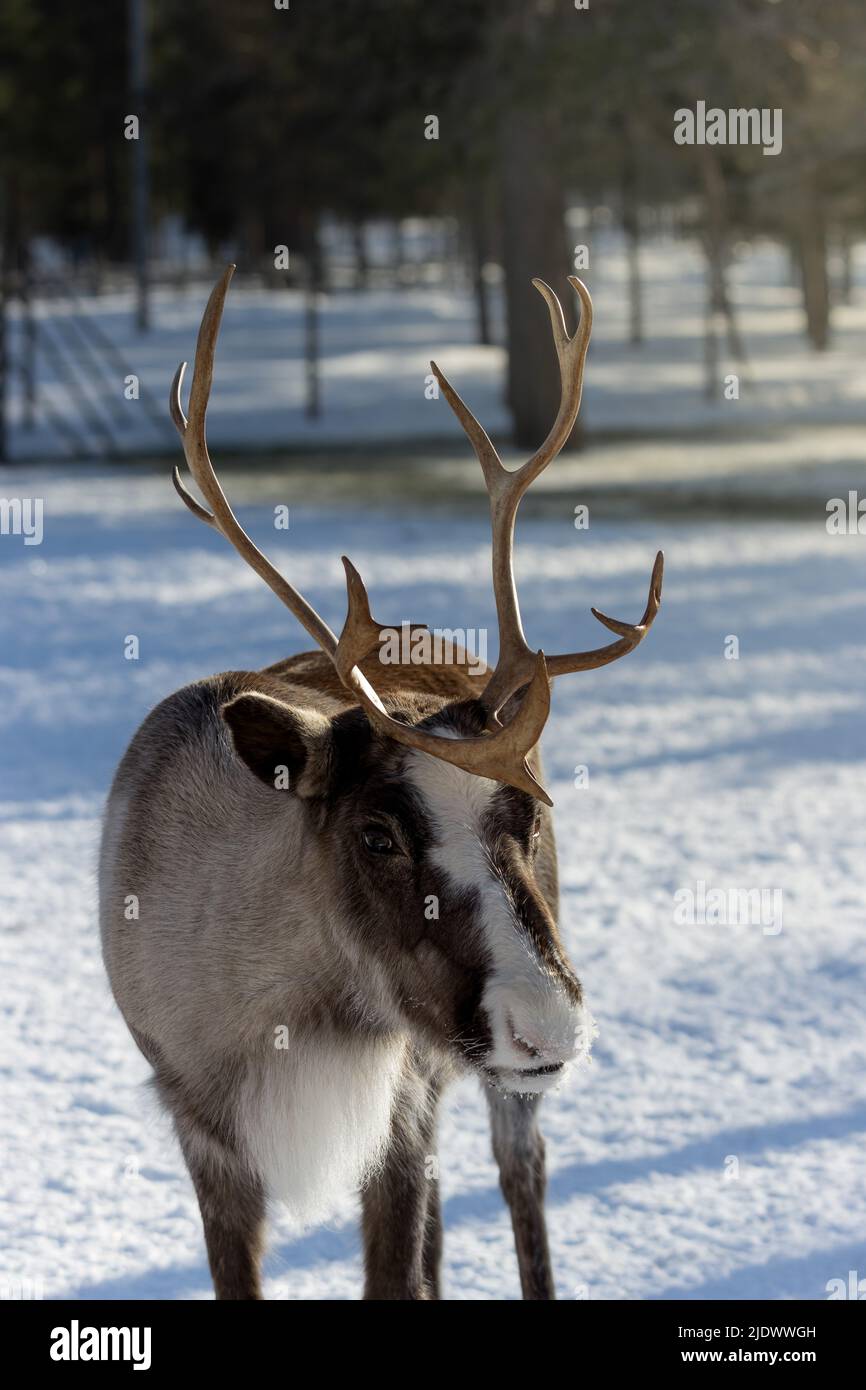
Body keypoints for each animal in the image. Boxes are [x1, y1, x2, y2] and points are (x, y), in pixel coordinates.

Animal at [99, 265, 663, 1301]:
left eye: (526, 818)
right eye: (376, 833)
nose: (551, 1027)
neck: (291, 1018)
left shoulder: (396, 1110)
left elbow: (397, 1267)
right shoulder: (202, 1129)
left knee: (522, 1171)